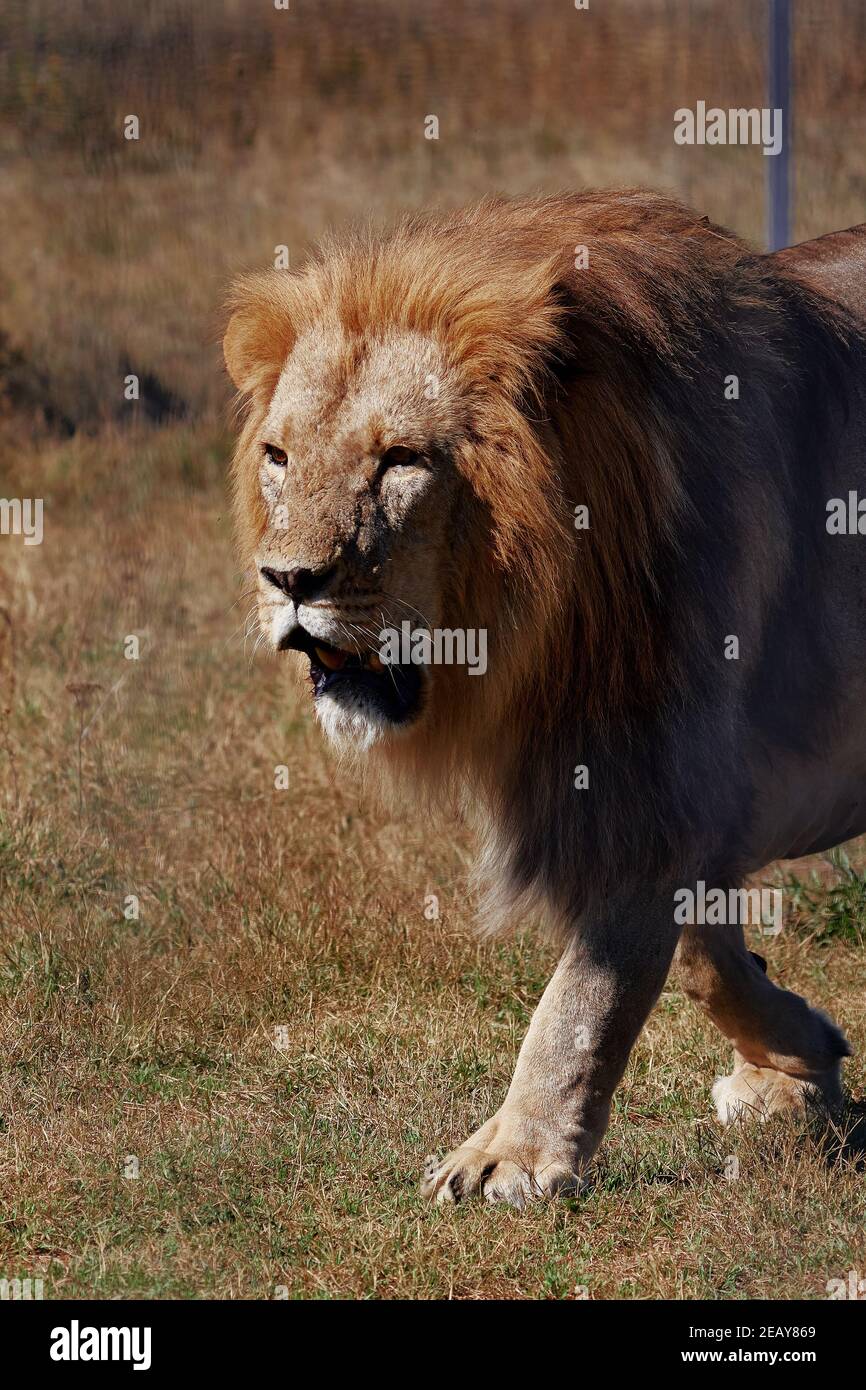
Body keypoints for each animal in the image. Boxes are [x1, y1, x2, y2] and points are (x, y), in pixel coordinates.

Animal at [224, 191, 864, 1208]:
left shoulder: (647, 783)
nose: (288, 578)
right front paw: (793, 1067)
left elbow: (586, 992)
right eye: (279, 456)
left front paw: (512, 1156)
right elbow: (699, 954)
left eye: (401, 460)